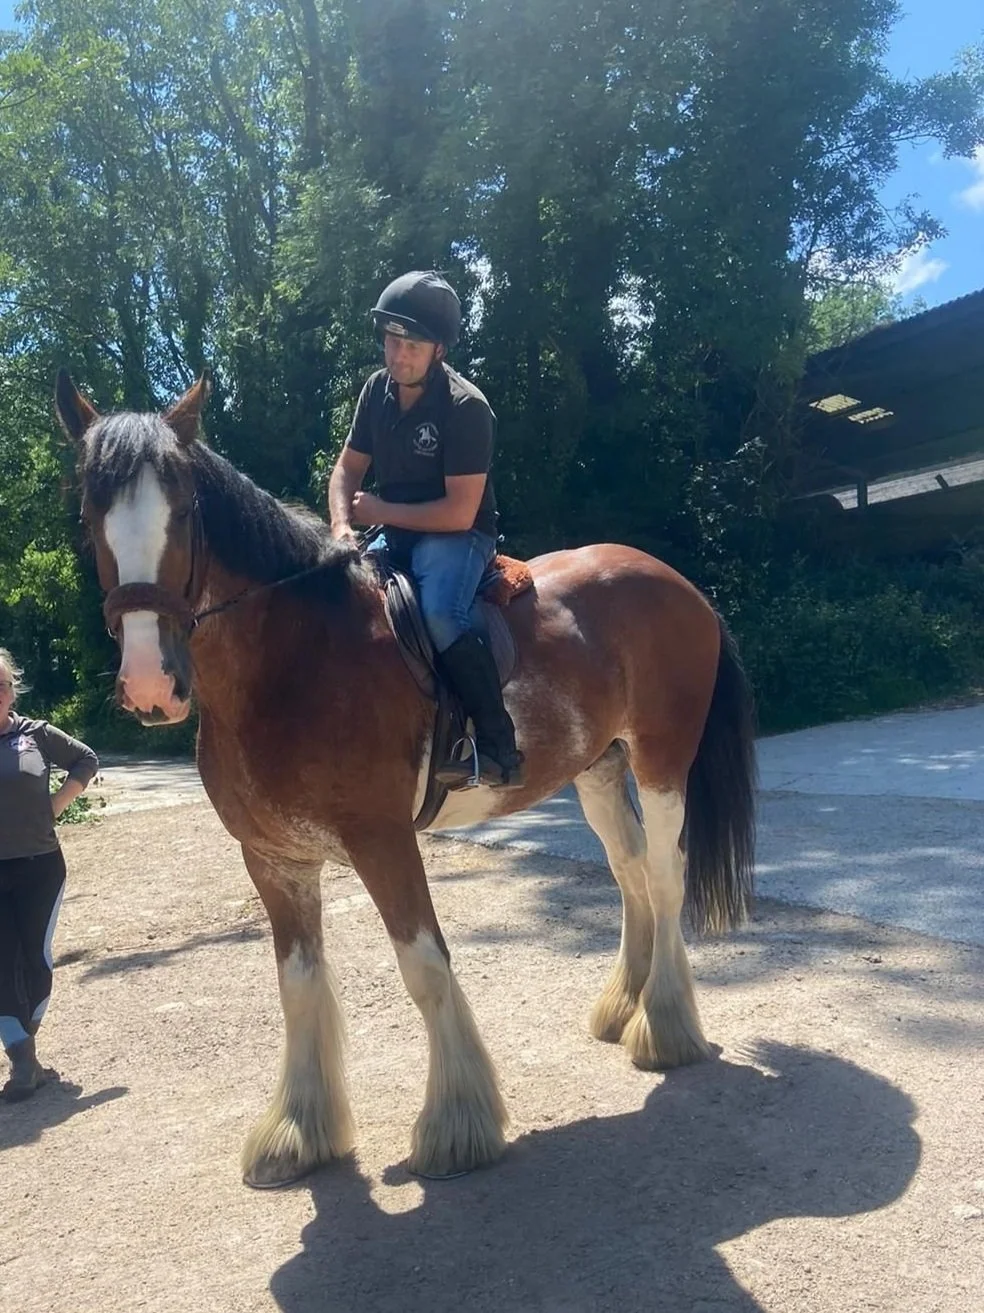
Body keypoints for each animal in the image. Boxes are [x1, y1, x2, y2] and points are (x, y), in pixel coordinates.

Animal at [55, 371, 756, 1188]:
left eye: (187, 509)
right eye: (90, 513)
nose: (149, 685)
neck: (294, 660)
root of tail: (681, 584)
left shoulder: (382, 840)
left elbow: (423, 966)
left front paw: (457, 1124)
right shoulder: (272, 858)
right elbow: (298, 984)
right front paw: (298, 1131)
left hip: (662, 759)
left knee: (668, 876)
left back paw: (665, 1026)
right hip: (601, 771)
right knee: (631, 873)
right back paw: (625, 1005)